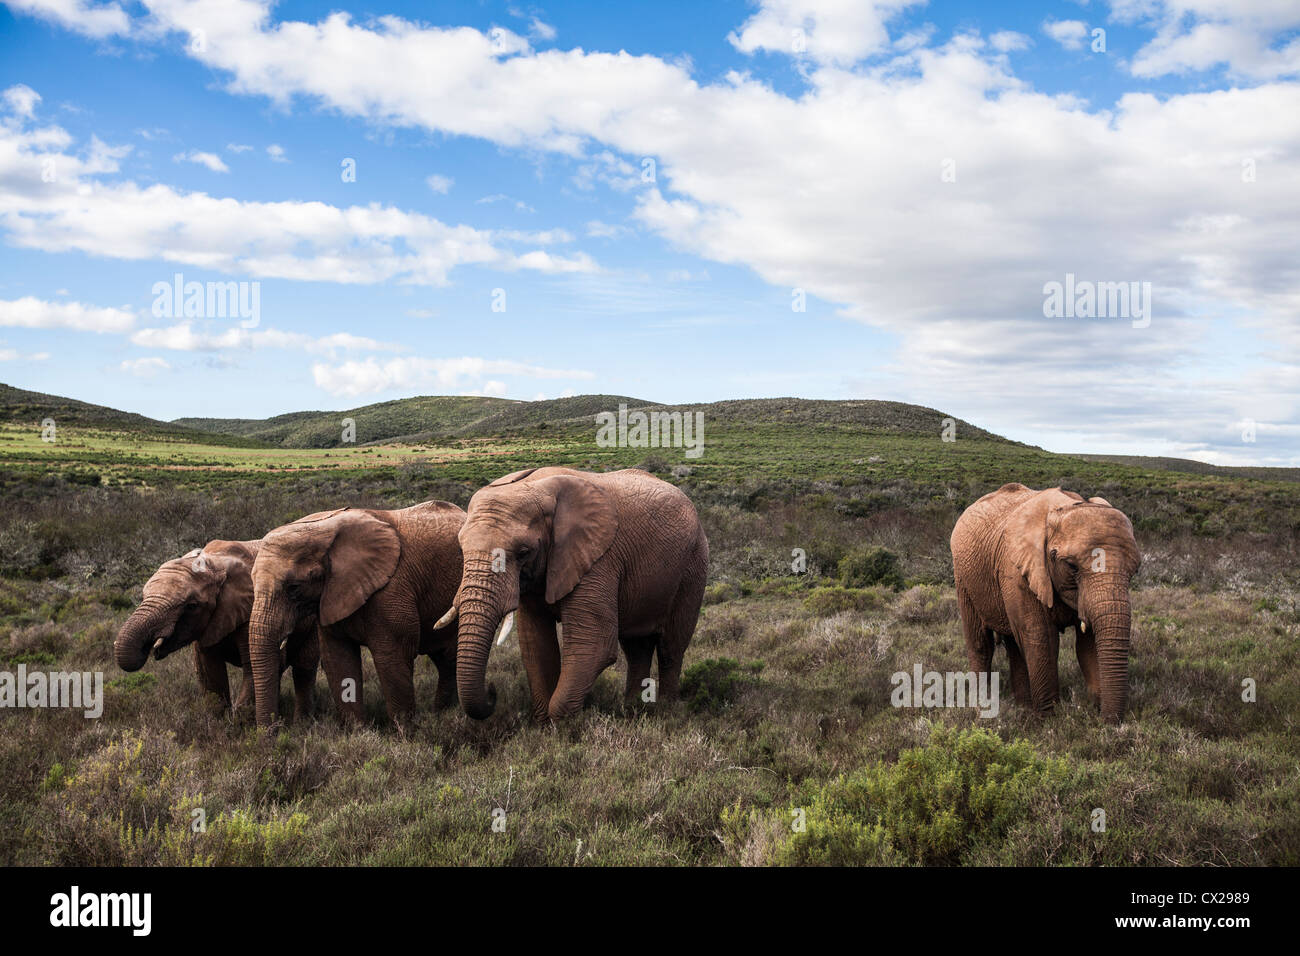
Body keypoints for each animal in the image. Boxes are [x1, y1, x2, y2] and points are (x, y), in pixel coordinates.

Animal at [115, 540, 319, 718]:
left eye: (192, 606)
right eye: (143, 596)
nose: (150, 647)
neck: (216, 562)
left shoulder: (250, 610)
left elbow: (252, 667)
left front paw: (238, 722)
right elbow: (210, 671)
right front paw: (220, 722)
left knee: (303, 668)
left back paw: (301, 723)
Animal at [248, 501, 467, 731]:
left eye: (294, 588)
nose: (274, 731)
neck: (322, 527)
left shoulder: (391, 588)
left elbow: (393, 657)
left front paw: (405, 734)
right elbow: (338, 659)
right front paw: (357, 732)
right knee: (445, 660)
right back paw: (441, 713)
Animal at [436, 466, 709, 723]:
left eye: (523, 552)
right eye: (460, 549)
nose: (492, 691)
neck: (534, 486)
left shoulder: (598, 559)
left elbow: (594, 643)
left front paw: (564, 728)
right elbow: (535, 643)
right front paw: (543, 727)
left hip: (693, 565)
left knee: (671, 646)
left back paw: (667, 711)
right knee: (636, 647)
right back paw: (633, 709)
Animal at [950, 483, 1141, 721]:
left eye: (1135, 570)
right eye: (1071, 566)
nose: (1109, 722)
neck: (1065, 506)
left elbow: (1088, 643)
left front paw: (1095, 707)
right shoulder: (1017, 570)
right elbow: (1042, 638)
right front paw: (1049, 720)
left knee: (1014, 643)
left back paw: (1022, 706)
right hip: (963, 577)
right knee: (980, 642)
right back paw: (981, 706)